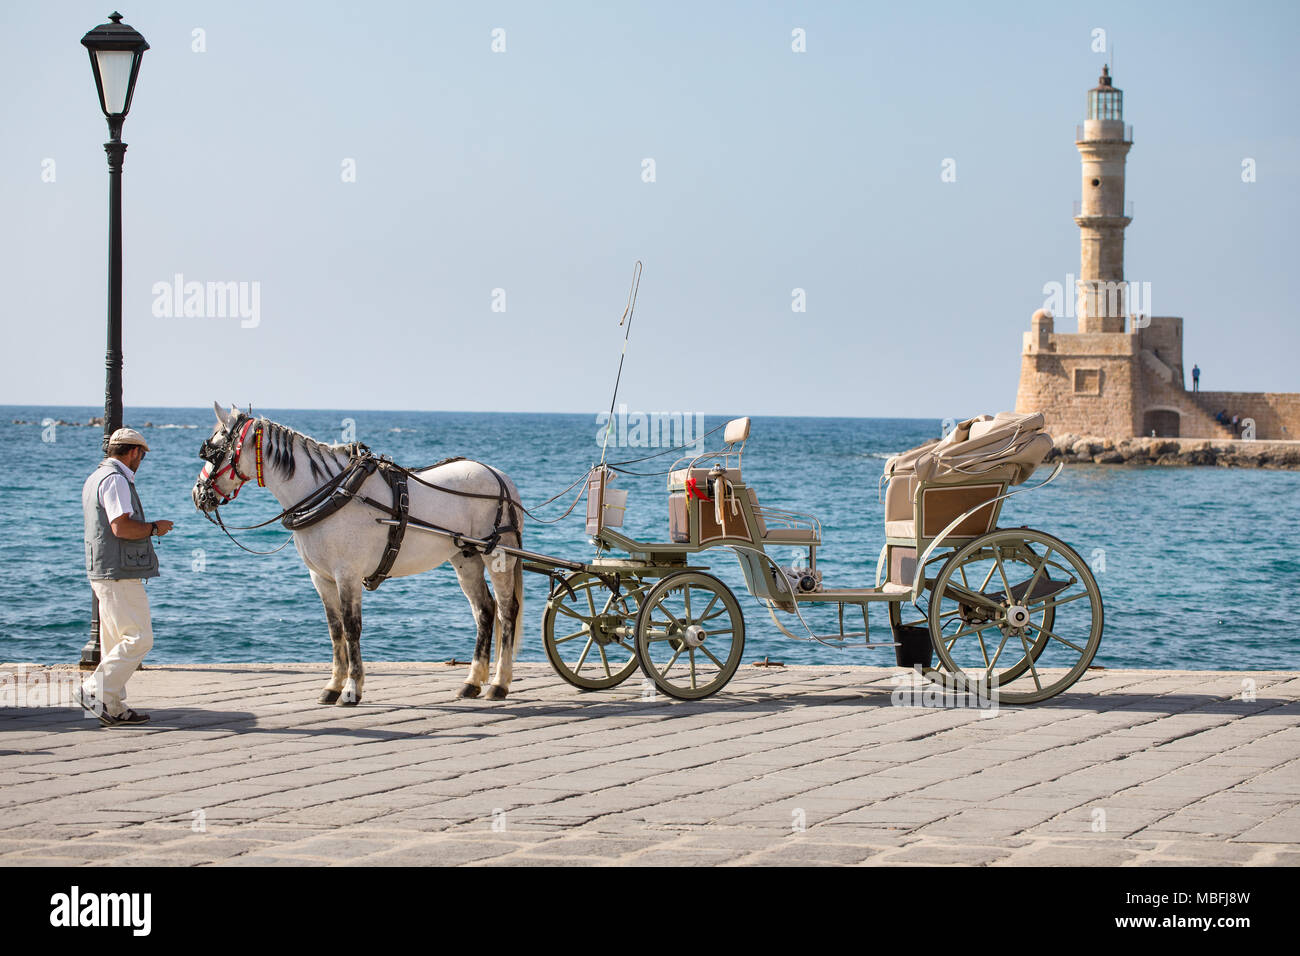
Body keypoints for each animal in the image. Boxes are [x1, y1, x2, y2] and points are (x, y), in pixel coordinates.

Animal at [191, 403, 525, 704]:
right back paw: (473, 681)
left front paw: (352, 688)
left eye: (212, 451)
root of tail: (499, 475)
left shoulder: (347, 574)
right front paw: (333, 686)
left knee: (507, 610)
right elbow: (335, 630)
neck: (333, 491)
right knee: (484, 611)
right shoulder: (321, 577)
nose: (197, 493)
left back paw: (499, 683)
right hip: (465, 557)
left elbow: (352, 629)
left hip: (498, 555)